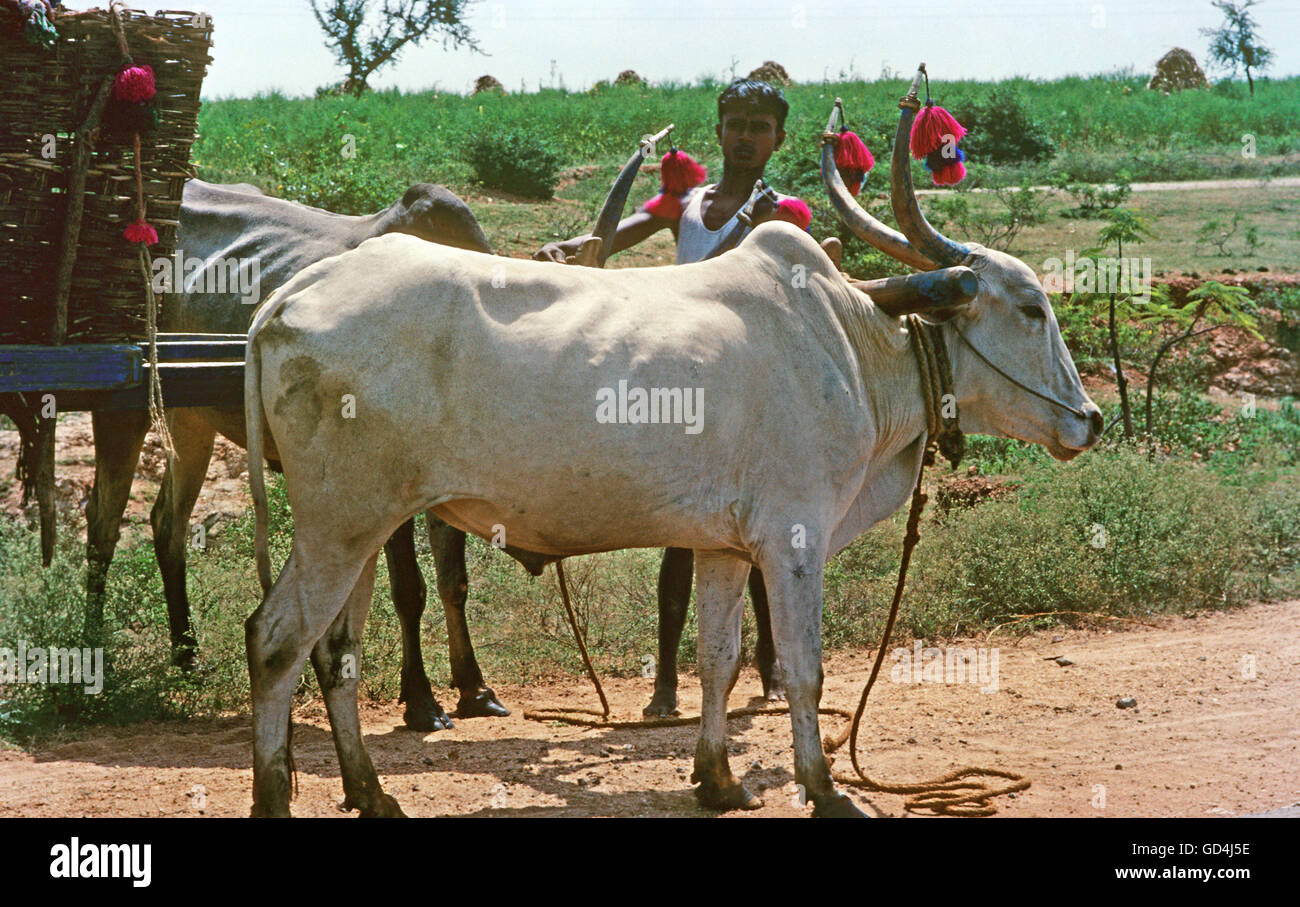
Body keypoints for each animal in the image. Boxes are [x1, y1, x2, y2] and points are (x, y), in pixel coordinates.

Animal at [82, 178, 530, 730]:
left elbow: (454, 582)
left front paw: (474, 688)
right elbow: (410, 590)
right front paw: (421, 701)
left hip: (190, 423)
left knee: (168, 521)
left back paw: (187, 655)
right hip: (122, 409)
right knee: (102, 524)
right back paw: (92, 655)